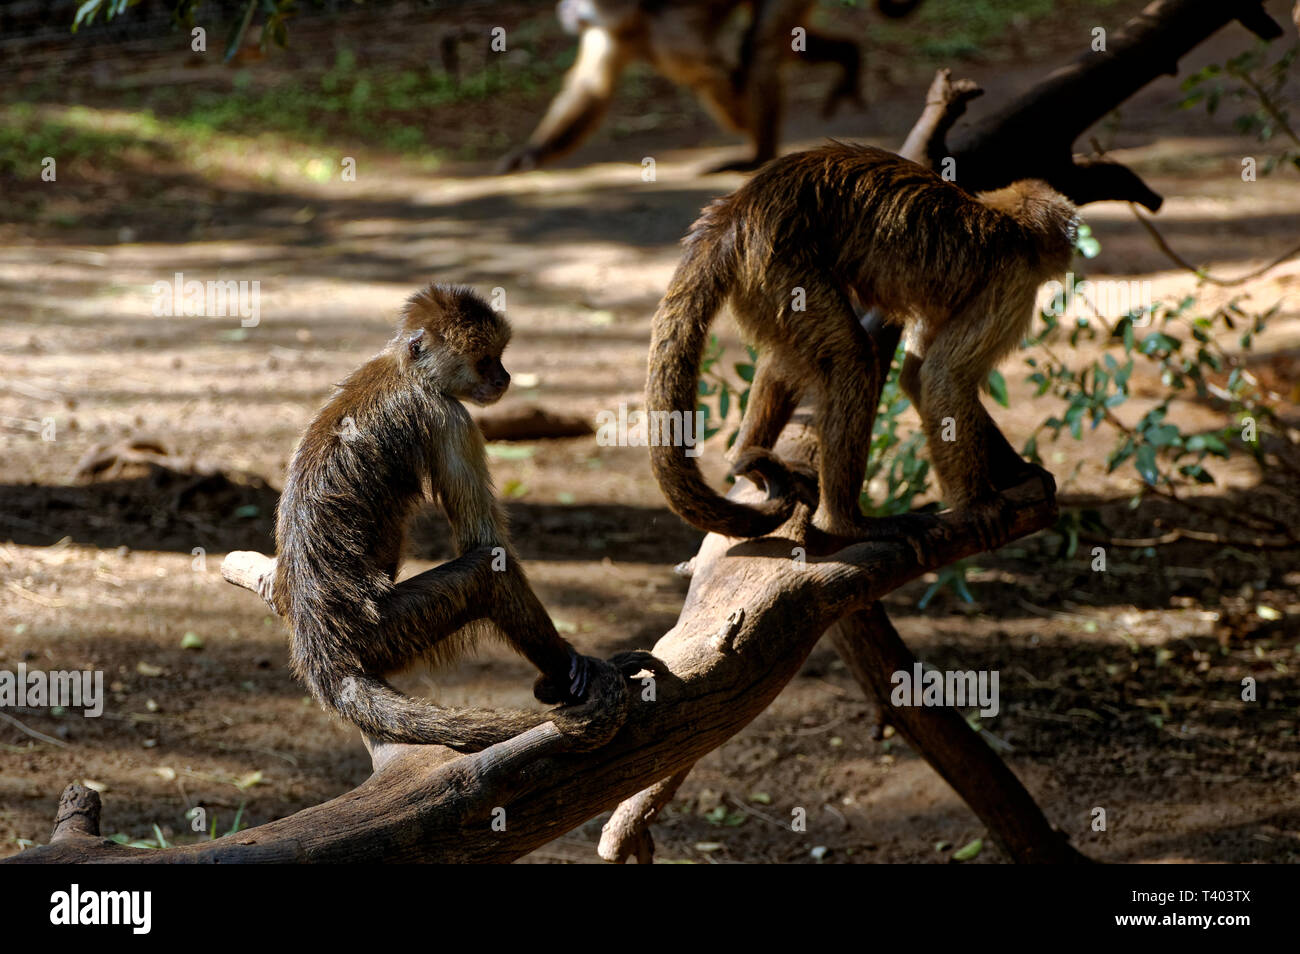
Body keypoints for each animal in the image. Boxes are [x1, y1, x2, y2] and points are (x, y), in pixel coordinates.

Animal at [270, 284, 643, 751]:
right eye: (486, 360)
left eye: (501, 356)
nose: (505, 377)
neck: (407, 372)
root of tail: (322, 650)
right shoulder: (448, 416)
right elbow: (488, 548)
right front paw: (572, 662)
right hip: (381, 635)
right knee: (486, 572)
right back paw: (562, 674)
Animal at [497, 0, 894, 174]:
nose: (566, 6)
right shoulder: (610, 31)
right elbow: (591, 89)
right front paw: (532, 153)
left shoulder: (669, 34)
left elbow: (715, 74)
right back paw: (849, 56)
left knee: (758, 47)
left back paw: (759, 155)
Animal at [646, 142, 1076, 550]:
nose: (1075, 243)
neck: (1009, 223)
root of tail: (738, 208)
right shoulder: (1014, 280)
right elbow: (944, 377)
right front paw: (979, 504)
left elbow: (917, 376)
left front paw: (1017, 470)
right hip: (782, 260)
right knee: (853, 359)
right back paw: (847, 525)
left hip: (761, 279)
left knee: (791, 356)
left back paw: (746, 456)